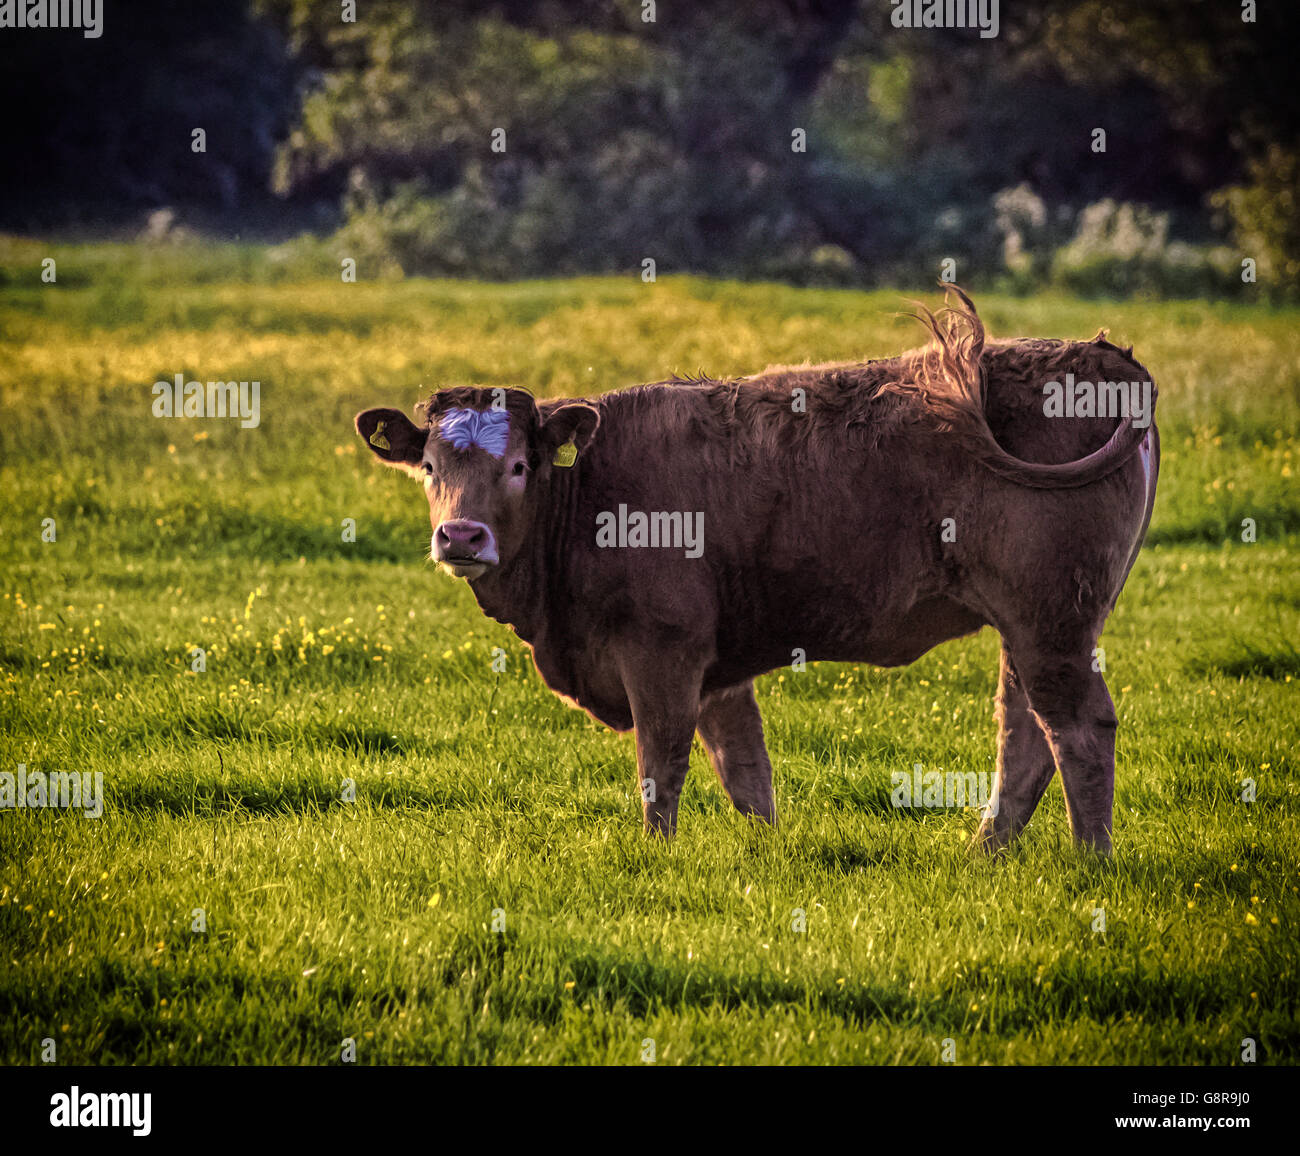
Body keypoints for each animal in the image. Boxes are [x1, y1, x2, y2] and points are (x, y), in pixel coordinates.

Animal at [355, 288, 1159, 854]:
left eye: (519, 466)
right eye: (430, 467)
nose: (461, 535)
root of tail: (1101, 357)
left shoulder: (664, 653)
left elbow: (662, 767)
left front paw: (656, 858)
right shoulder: (718, 669)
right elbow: (745, 772)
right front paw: (767, 855)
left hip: (1049, 622)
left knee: (1076, 729)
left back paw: (1089, 863)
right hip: (1032, 626)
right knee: (1025, 732)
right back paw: (984, 852)